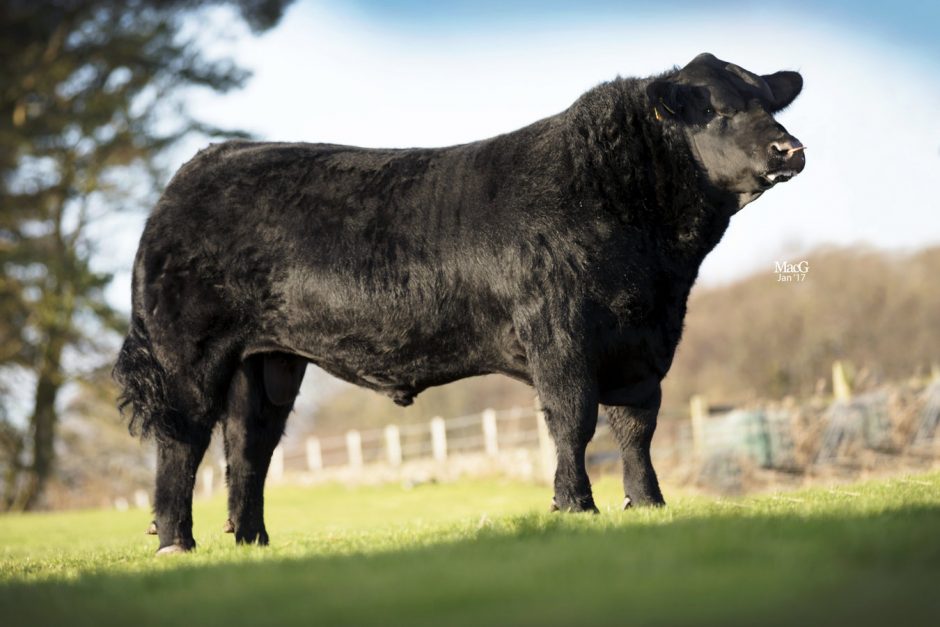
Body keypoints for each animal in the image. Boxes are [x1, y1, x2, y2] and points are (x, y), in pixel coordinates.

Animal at [114, 52, 805, 554]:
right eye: (713, 110)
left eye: (767, 103)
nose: (789, 148)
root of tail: (199, 166)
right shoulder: (559, 332)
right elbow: (573, 419)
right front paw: (575, 505)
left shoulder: (645, 341)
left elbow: (636, 427)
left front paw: (650, 505)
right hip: (187, 354)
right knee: (182, 441)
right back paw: (176, 543)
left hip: (267, 362)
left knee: (248, 447)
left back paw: (253, 540)